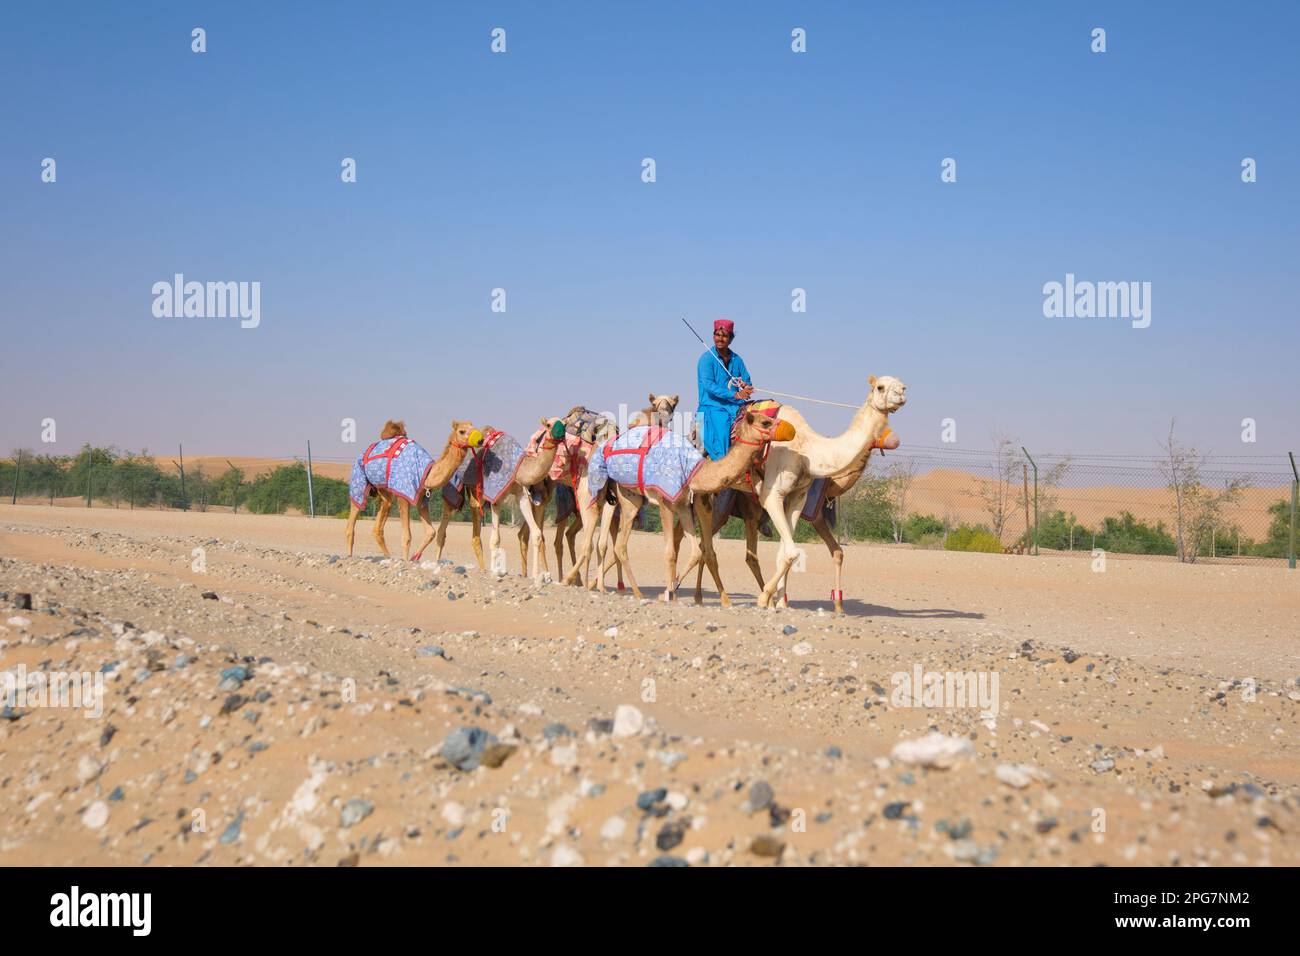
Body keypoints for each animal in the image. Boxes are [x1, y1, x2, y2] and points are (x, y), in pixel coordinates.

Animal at [344, 419, 483, 561]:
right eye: (462, 431)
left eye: (474, 427)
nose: (480, 440)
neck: (427, 474)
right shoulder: (403, 494)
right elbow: (407, 537)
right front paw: (406, 561)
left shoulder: (422, 497)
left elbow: (430, 532)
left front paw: (413, 558)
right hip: (358, 480)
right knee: (352, 521)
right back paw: (349, 557)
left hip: (384, 492)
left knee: (378, 525)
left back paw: (388, 558)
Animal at [592, 411, 796, 604]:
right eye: (766, 422)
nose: (791, 430)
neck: (694, 471)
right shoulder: (665, 502)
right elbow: (670, 552)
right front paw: (670, 596)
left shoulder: (684, 505)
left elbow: (697, 552)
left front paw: (674, 593)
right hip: (627, 496)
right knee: (620, 544)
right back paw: (635, 592)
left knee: (620, 545)